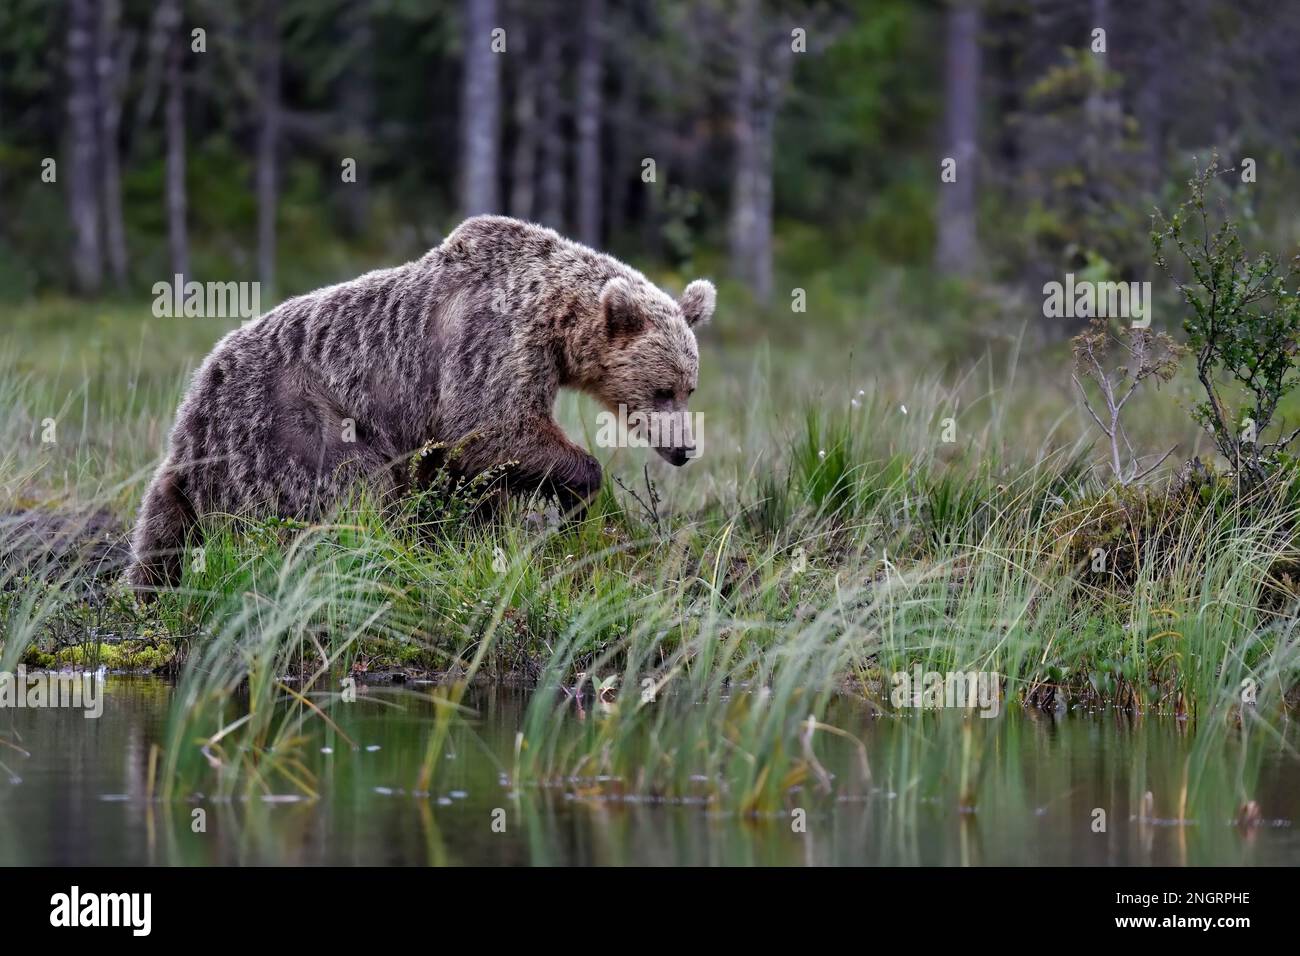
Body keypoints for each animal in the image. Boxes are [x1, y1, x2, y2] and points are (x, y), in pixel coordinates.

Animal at [126, 215, 716, 592]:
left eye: (689, 388)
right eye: (662, 390)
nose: (684, 448)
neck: (553, 318)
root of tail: (194, 409)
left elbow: (463, 476)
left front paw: (475, 534)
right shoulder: (489, 346)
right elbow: (494, 429)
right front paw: (578, 496)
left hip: (187, 476)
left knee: (160, 534)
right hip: (289, 421)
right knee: (355, 490)